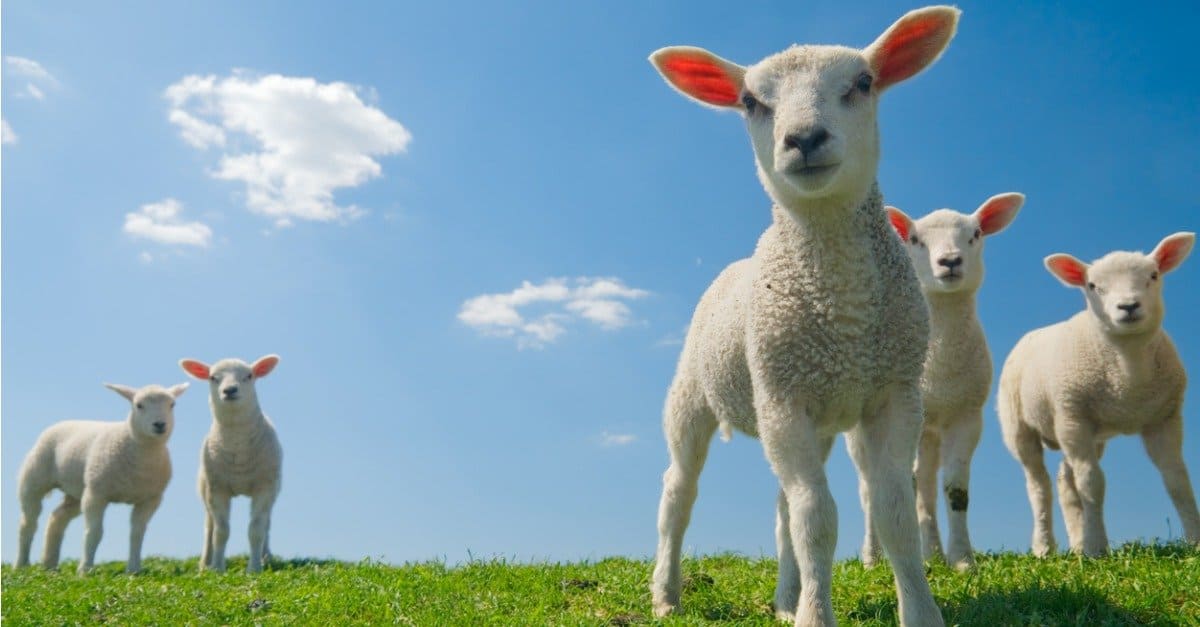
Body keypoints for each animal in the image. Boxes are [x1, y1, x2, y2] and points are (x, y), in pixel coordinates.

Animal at [16, 382, 189, 574]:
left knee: (57, 517)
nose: (159, 425)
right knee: (28, 523)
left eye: (172, 404)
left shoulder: (150, 500)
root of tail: (63, 422)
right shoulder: (96, 494)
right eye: (139, 405)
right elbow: (95, 532)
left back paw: (49, 564)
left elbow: (137, 534)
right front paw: (85, 569)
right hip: (34, 480)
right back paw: (21, 565)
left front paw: (133, 570)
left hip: (76, 492)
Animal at [179, 355, 282, 574]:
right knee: (209, 526)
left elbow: (257, 529)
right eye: (213, 377)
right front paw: (218, 568)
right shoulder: (217, 489)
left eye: (249, 376)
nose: (230, 390)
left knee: (267, 524)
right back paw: (205, 563)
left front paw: (254, 569)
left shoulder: (264, 487)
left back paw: (266, 557)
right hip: (205, 489)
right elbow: (221, 531)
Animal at [647, 6, 959, 625]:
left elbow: (892, 511)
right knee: (679, 494)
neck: (845, 312)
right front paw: (817, 615)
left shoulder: (895, 392)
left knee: (781, 506)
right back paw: (667, 594)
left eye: (862, 83)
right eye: (749, 101)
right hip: (695, 395)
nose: (805, 138)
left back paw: (786, 599)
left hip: (811, 418)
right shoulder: (782, 396)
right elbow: (817, 518)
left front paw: (919, 611)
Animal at [870, 193, 1025, 571]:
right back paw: (874, 558)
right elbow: (904, 484)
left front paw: (962, 559)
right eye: (915, 240)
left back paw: (933, 552)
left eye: (976, 234)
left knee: (925, 484)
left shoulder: (967, 417)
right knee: (870, 487)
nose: (950, 261)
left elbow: (955, 489)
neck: (938, 366)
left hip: (930, 434)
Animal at [998, 232, 1199, 557]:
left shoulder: (1165, 418)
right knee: (1039, 485)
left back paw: (1077, 542)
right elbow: (1092, 483)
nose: (1128, 306)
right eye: (1092, 285)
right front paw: (1096, 548)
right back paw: (1044, 546)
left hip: (1086, 432)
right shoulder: (1073, 416)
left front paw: (1195, 540)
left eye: (1153, 275)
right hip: (1020, 424)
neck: (1127, 376)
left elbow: (1177, 479)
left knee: (1065, 480)